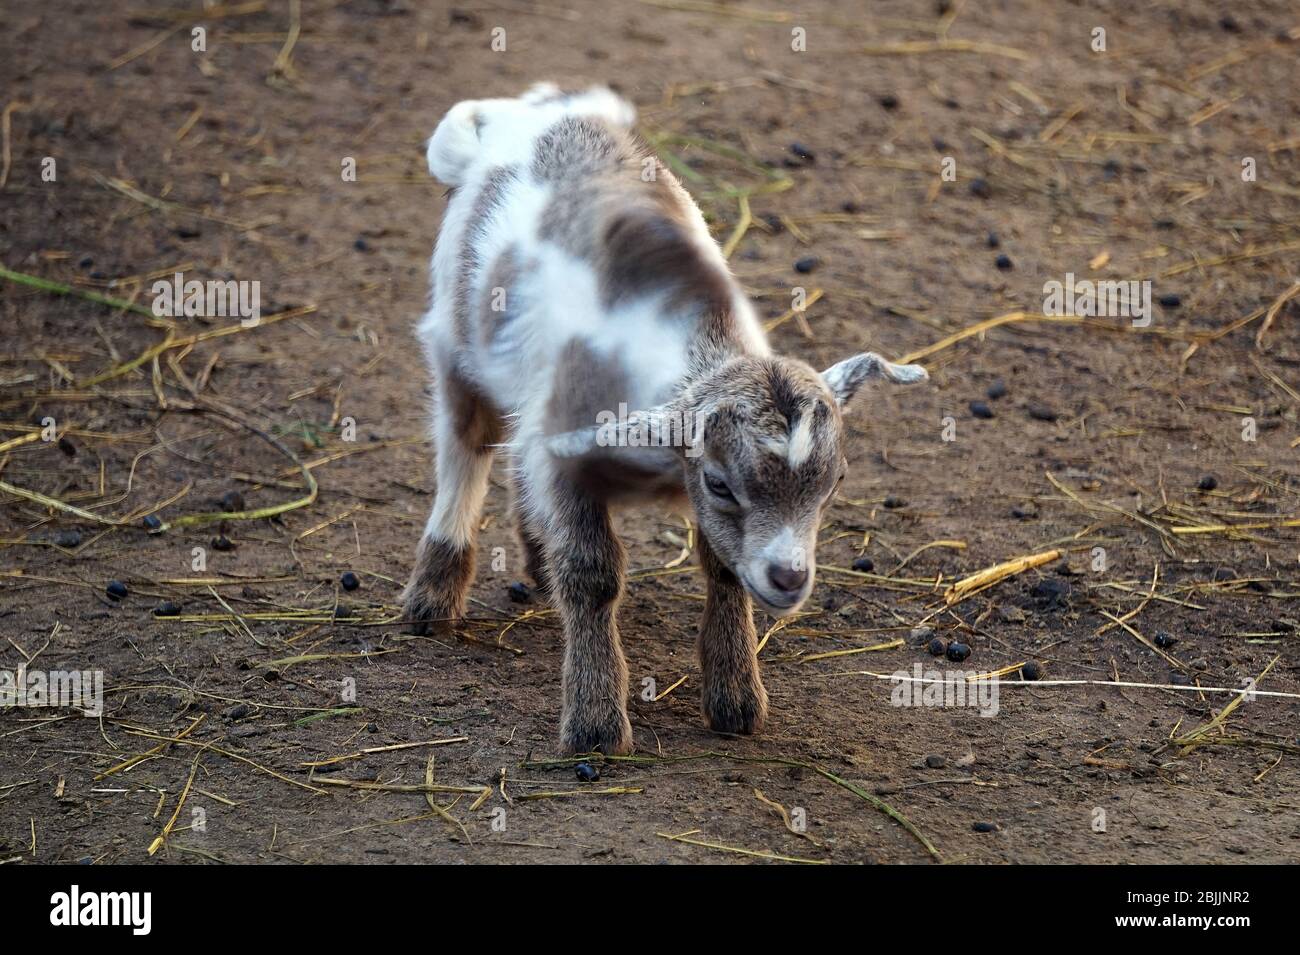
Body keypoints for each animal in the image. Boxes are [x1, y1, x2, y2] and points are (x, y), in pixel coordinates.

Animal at [403, 83, 928, 755]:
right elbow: (593, 574)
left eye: (834, 483)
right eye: (720, 483)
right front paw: (596, 723)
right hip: (455, 339)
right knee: (465, 446)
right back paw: (435, 593)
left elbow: (724, 568)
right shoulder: (568, 453)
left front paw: (735, 700)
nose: (789, 578)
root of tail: (521, 111)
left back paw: (535, 564)